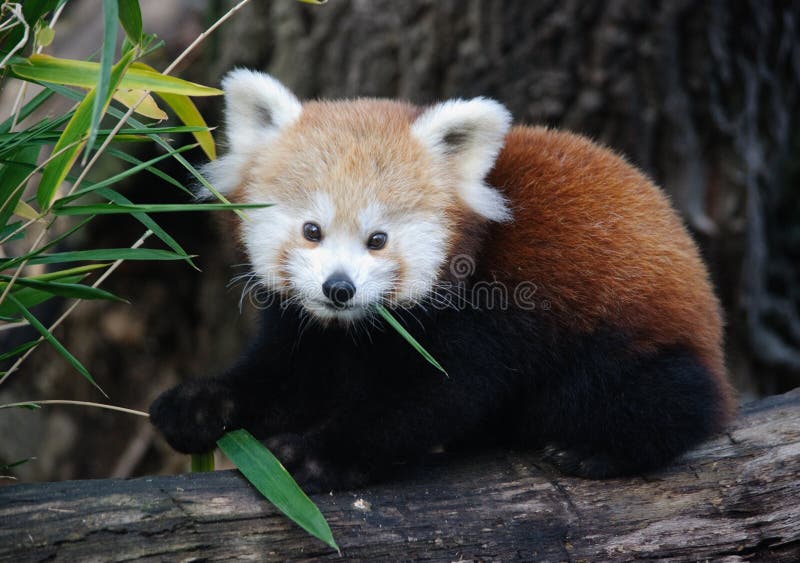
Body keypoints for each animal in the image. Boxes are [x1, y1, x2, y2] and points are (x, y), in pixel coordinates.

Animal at [149, 69, 734, 492]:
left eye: (378, 239)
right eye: (312, 231)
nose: (339, 289)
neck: (358, 329)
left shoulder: (485, 313)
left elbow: (429, 399)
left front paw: (313, 457)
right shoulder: (310, 328)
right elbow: (285, 378)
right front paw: (196, 405)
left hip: (633, 334)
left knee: (662, 396)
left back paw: (595, 449)